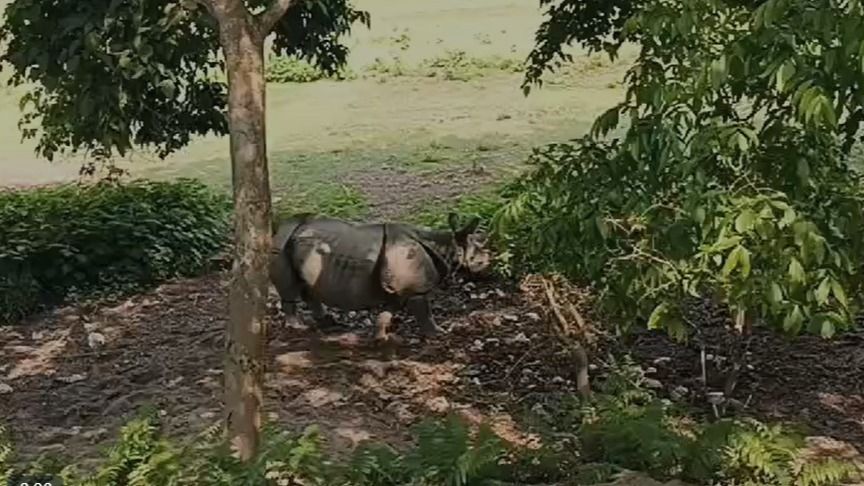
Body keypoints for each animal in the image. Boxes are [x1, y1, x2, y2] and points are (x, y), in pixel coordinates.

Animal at [268, 212, 491, 339]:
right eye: (477, 259)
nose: (488, 265)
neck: (448, 246)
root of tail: (279, 228)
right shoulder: (416, 290)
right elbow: (425, 312)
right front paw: (439, 335)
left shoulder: (400, 290)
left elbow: (387, 313)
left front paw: (380, 337)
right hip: (282, 243)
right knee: (290, 289)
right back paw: (299, 328)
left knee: (306, 287)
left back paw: (328, 322)